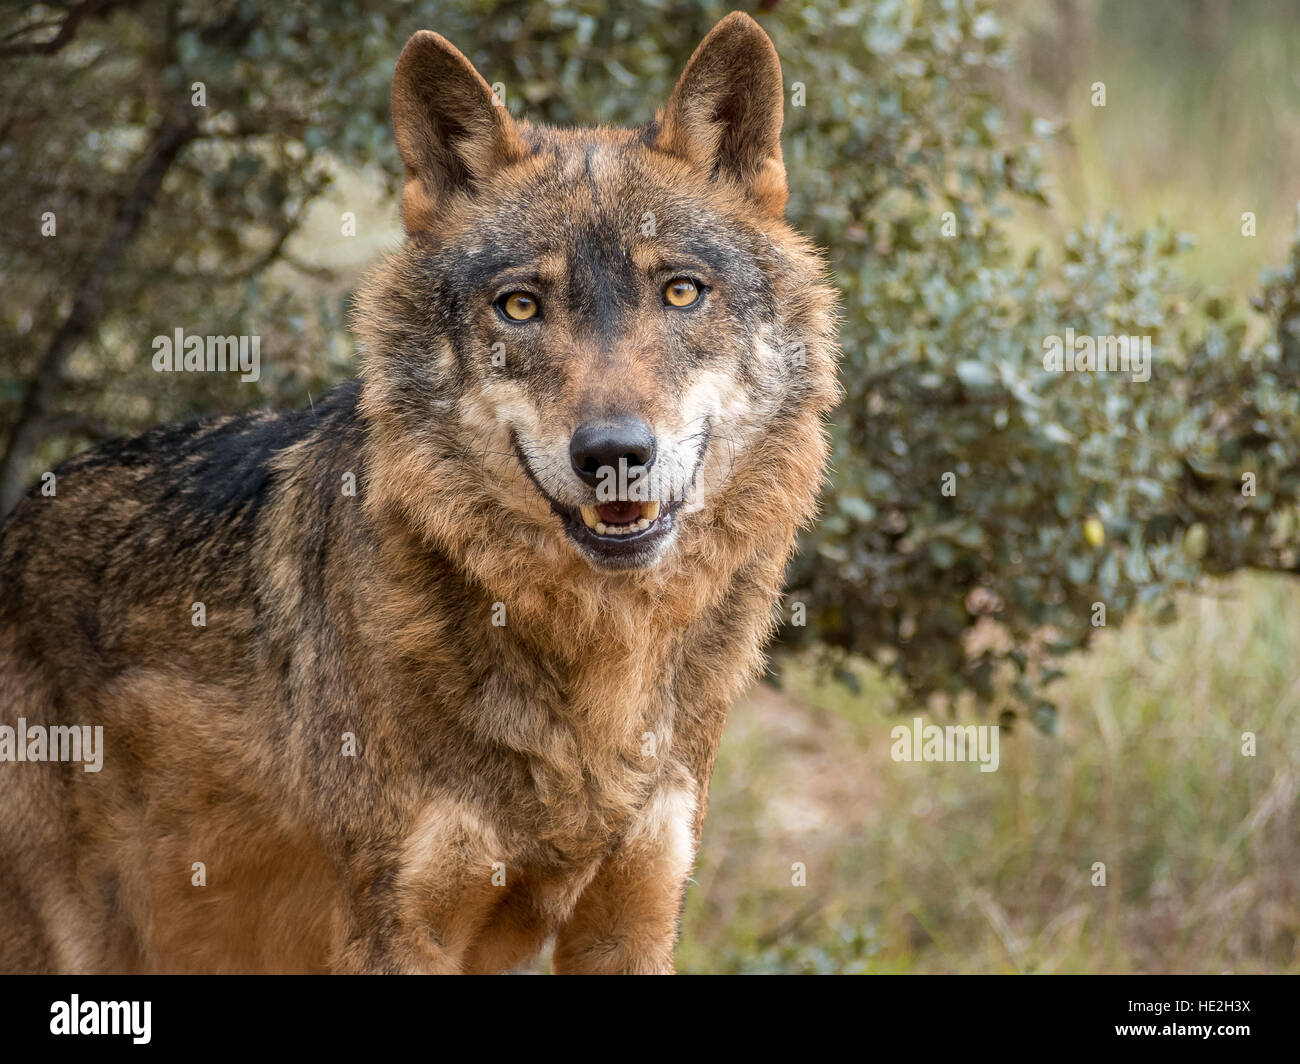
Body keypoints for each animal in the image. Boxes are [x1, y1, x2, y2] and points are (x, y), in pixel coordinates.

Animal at [0, 12, 838, 973]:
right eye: (520, 307)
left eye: (681, 291)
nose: (615, 454)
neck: (597, 673)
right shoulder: (398, 926)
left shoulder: (635, 918)